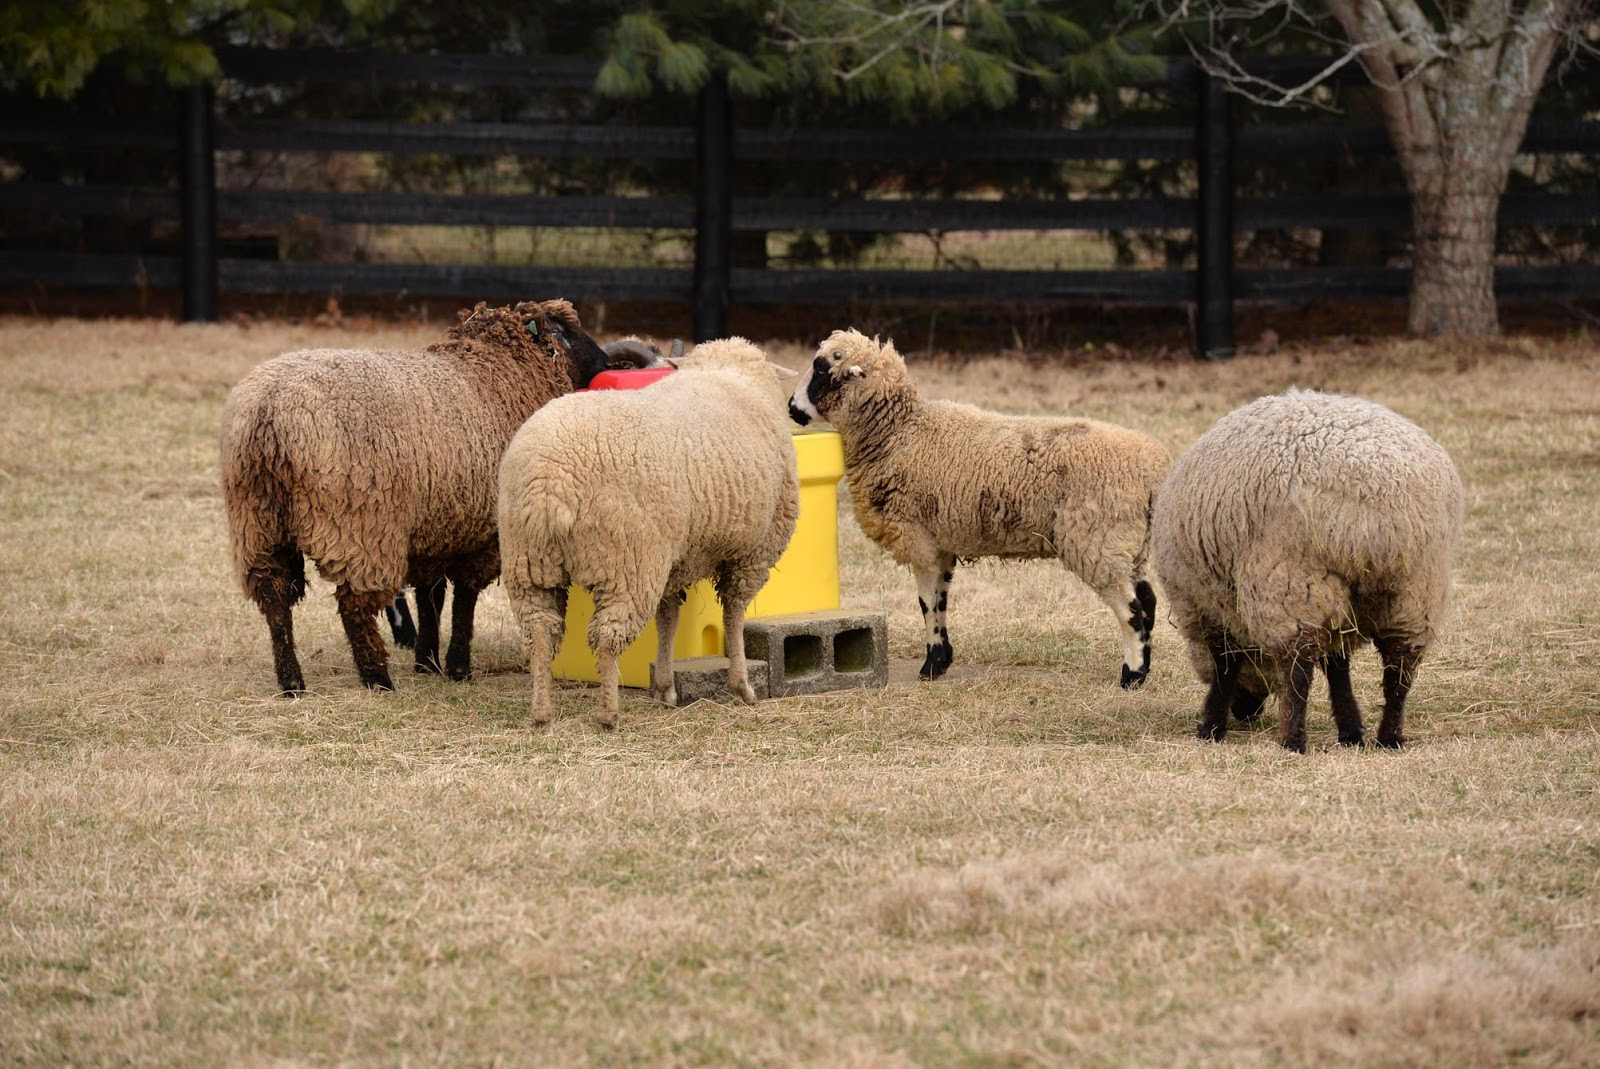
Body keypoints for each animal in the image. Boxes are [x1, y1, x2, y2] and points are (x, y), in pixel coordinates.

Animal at [220, 300, 664, 695]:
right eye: (567, 333)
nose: (609, 365)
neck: (504, 371)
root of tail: (268, 414)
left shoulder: (439, 523)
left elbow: (430, 595)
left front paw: (427, 661)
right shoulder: (484, 530)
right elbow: (464, 598)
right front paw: (457, 667)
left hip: (257, 520)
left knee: (274, 597)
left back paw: (291, 682)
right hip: (358, 523)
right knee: (354, 605)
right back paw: (376, 678)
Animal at [498, 336, 800, 729]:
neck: (728, 374)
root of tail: (550, 481)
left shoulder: (674, 558)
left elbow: (668, 619)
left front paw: (665, 688)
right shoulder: (753, 553)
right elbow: (733, 617)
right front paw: (742, 686)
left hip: (529, 564)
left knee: (540, 633)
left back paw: (541, 713)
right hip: (628, 564)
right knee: (606, 637)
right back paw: (608, 714)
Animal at [787, 328, 1173, 688]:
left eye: (821, 368)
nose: (791, 407)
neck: (899, 433)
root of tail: (1156, 468)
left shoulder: (919, 540)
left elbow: (926, 603)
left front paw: (930, 667)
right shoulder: (940, 543)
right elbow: (941, 601)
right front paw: (942, 660)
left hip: (1099, 539)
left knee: (1132, 610)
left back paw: (1131, 676)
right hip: (1130, 543)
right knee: (1148, 601)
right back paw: (1144, 669)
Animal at [1151, 388, 1464, 753]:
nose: (1246, 714)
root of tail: (1378, 503)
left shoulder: (1208, 605)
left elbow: (1225, 666)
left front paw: (1211, 727)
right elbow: (1338, 666)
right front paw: (1351, 729)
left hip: (1294, 581)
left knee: (1298, 666)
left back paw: (1293, 740)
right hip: (1415, 589)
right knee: (1400, 670)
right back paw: (1389, 738)